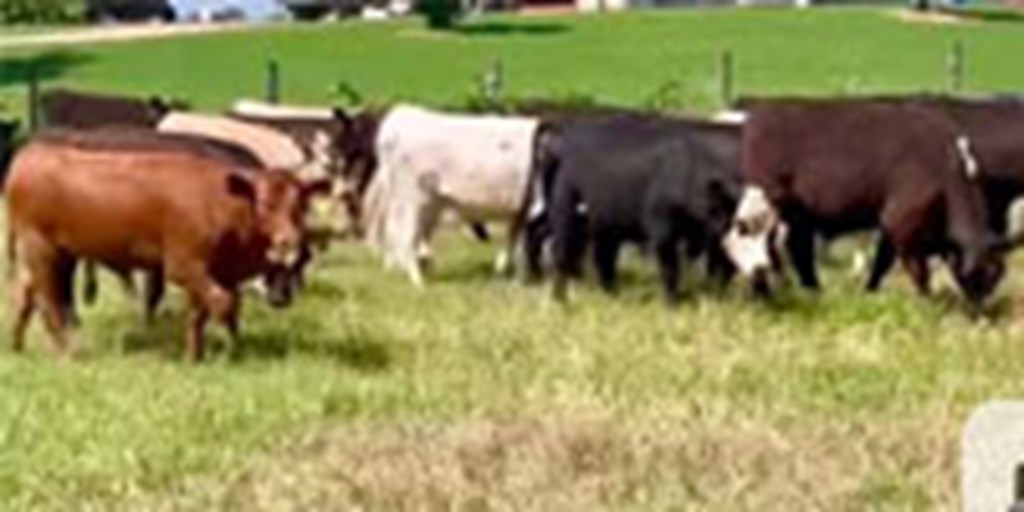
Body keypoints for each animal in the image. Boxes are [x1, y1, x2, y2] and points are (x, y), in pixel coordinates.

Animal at [5, 128, 330, 361]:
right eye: (263, 204)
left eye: (301, 205)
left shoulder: (212, 271)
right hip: (42, 250)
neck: (221, 203)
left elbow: (202, 313)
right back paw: (67, 353)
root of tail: (30, 154)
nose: (289, 241)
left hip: (52, 254)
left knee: (25, 296)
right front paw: (230, 351)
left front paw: (195, 356)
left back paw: (16, 347)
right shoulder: (182, 265)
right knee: (49, 302)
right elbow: (224, 304)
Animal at [365, 105, 540, 286]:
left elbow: (516, 243)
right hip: (412, 199)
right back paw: (418, 281)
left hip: (423, 202)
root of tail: (403, 112)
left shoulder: (520, 211)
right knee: (405, 235)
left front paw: (514, 277)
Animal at [522, 113, 743, 303]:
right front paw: (672, 302)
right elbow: (671, 267)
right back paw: (557, 293)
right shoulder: (662, 229)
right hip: (564, 207)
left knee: (549, 235)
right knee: (559, 246)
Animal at [723, 98, 1007, 305]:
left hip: (797, 217)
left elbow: (882, 262)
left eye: (996, 279)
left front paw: (870, 292)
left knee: (797, 251)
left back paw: (810, 290)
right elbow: (917, 269)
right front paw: (926, 303)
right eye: (979, 277)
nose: (981, 312)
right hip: (766, 210)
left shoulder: (891, 227)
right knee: (756, 244)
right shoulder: (901, 224)